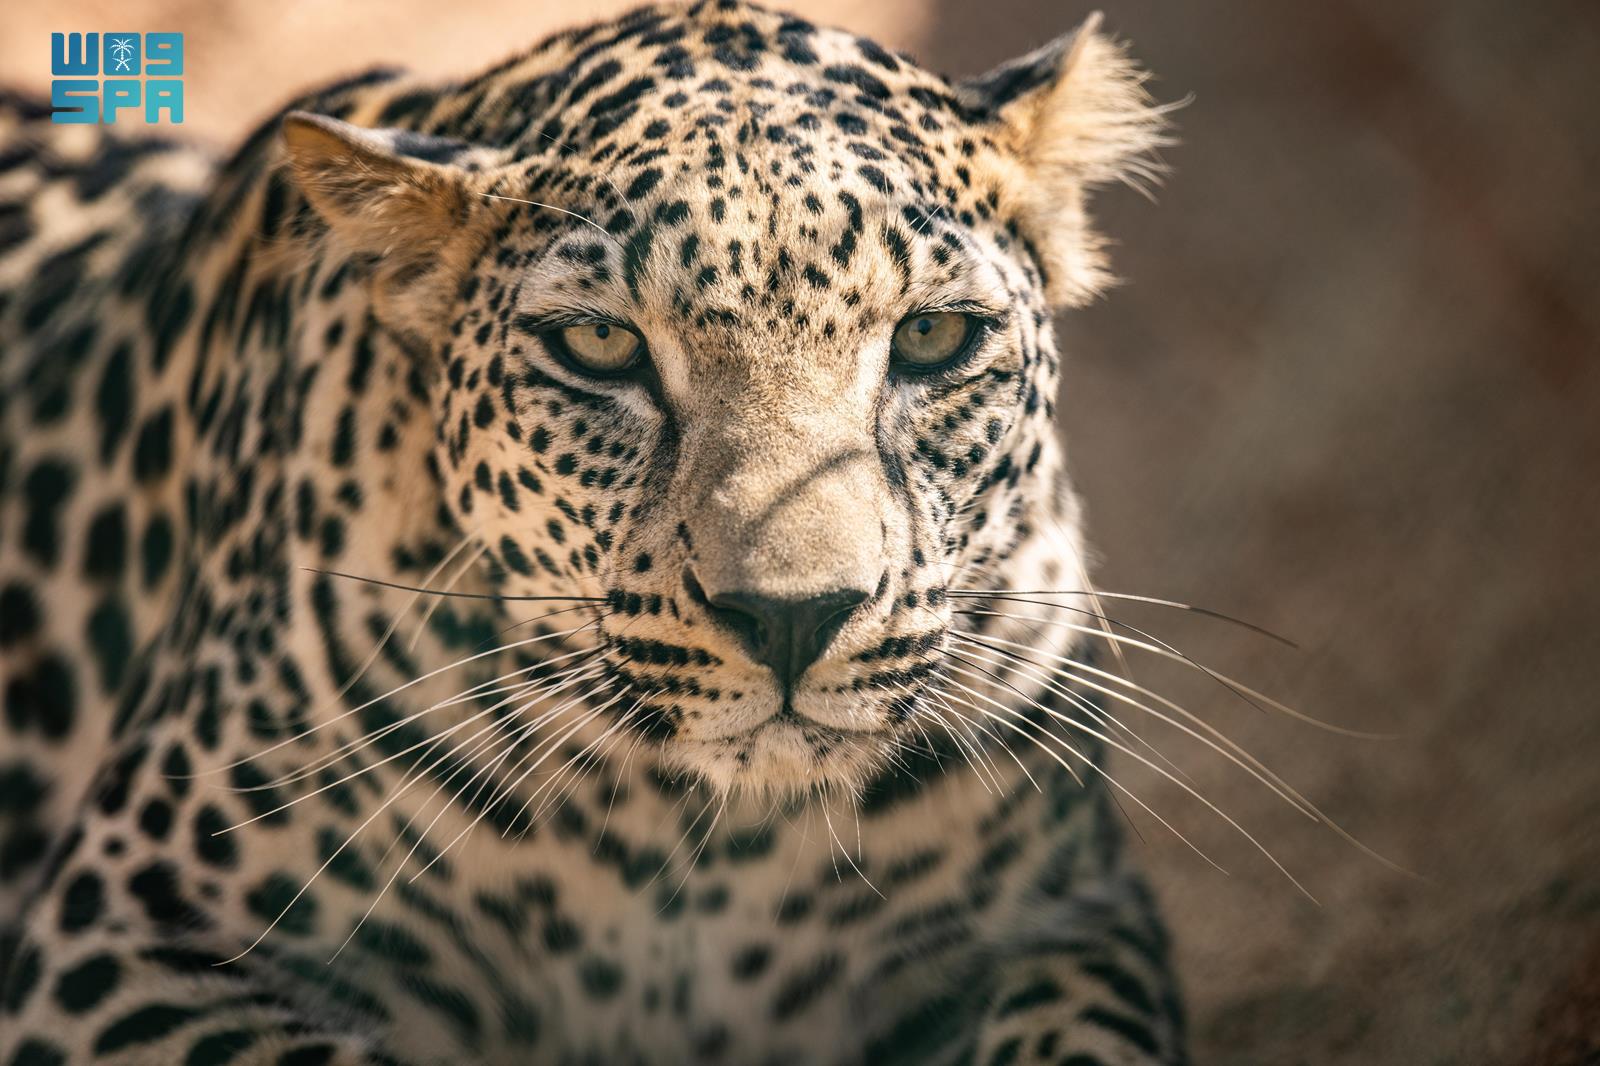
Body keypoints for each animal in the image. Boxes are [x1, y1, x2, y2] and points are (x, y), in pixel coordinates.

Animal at [0, 3, 1188, 1063]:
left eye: (934, 336)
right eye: (600, 346)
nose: (794, 620)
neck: (695, 843)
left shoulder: (1070, 922)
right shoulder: (125, 934)